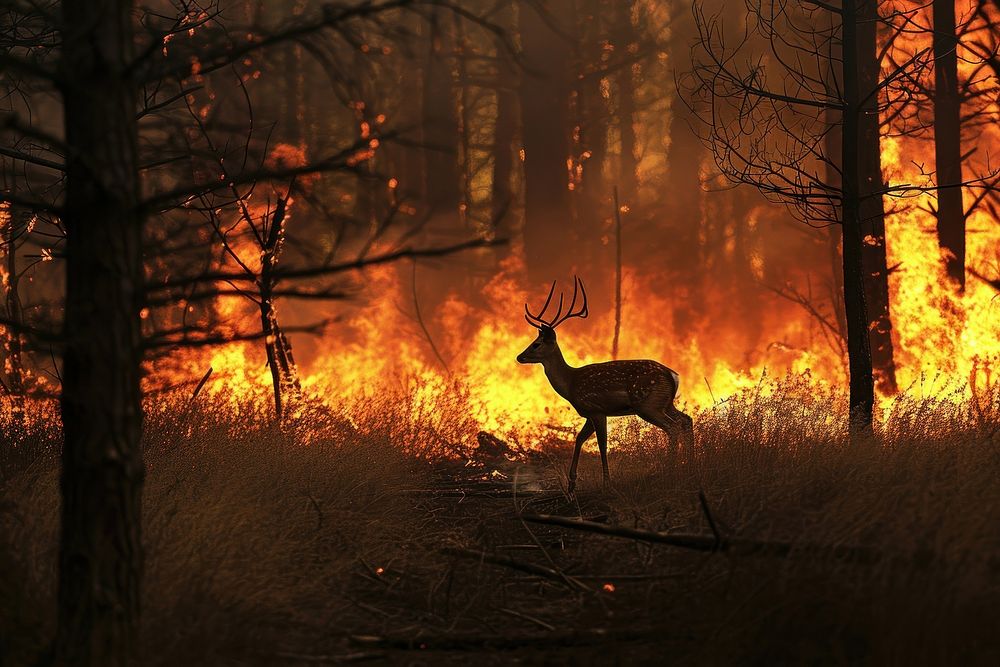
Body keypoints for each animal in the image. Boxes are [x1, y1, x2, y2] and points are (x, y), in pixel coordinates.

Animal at [516, 277, 694, 493]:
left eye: (536, 344)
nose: (519, 356)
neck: (571, 383)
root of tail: (673, 375)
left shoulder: (597, 410)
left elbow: (602, 445)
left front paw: (606, 483)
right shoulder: (588, 413)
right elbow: (579, 439)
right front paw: (572, 483)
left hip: (648, 404)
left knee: (673, 427)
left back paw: (670, 470)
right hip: (665, 403)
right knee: (686, 420)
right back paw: (691, 466)